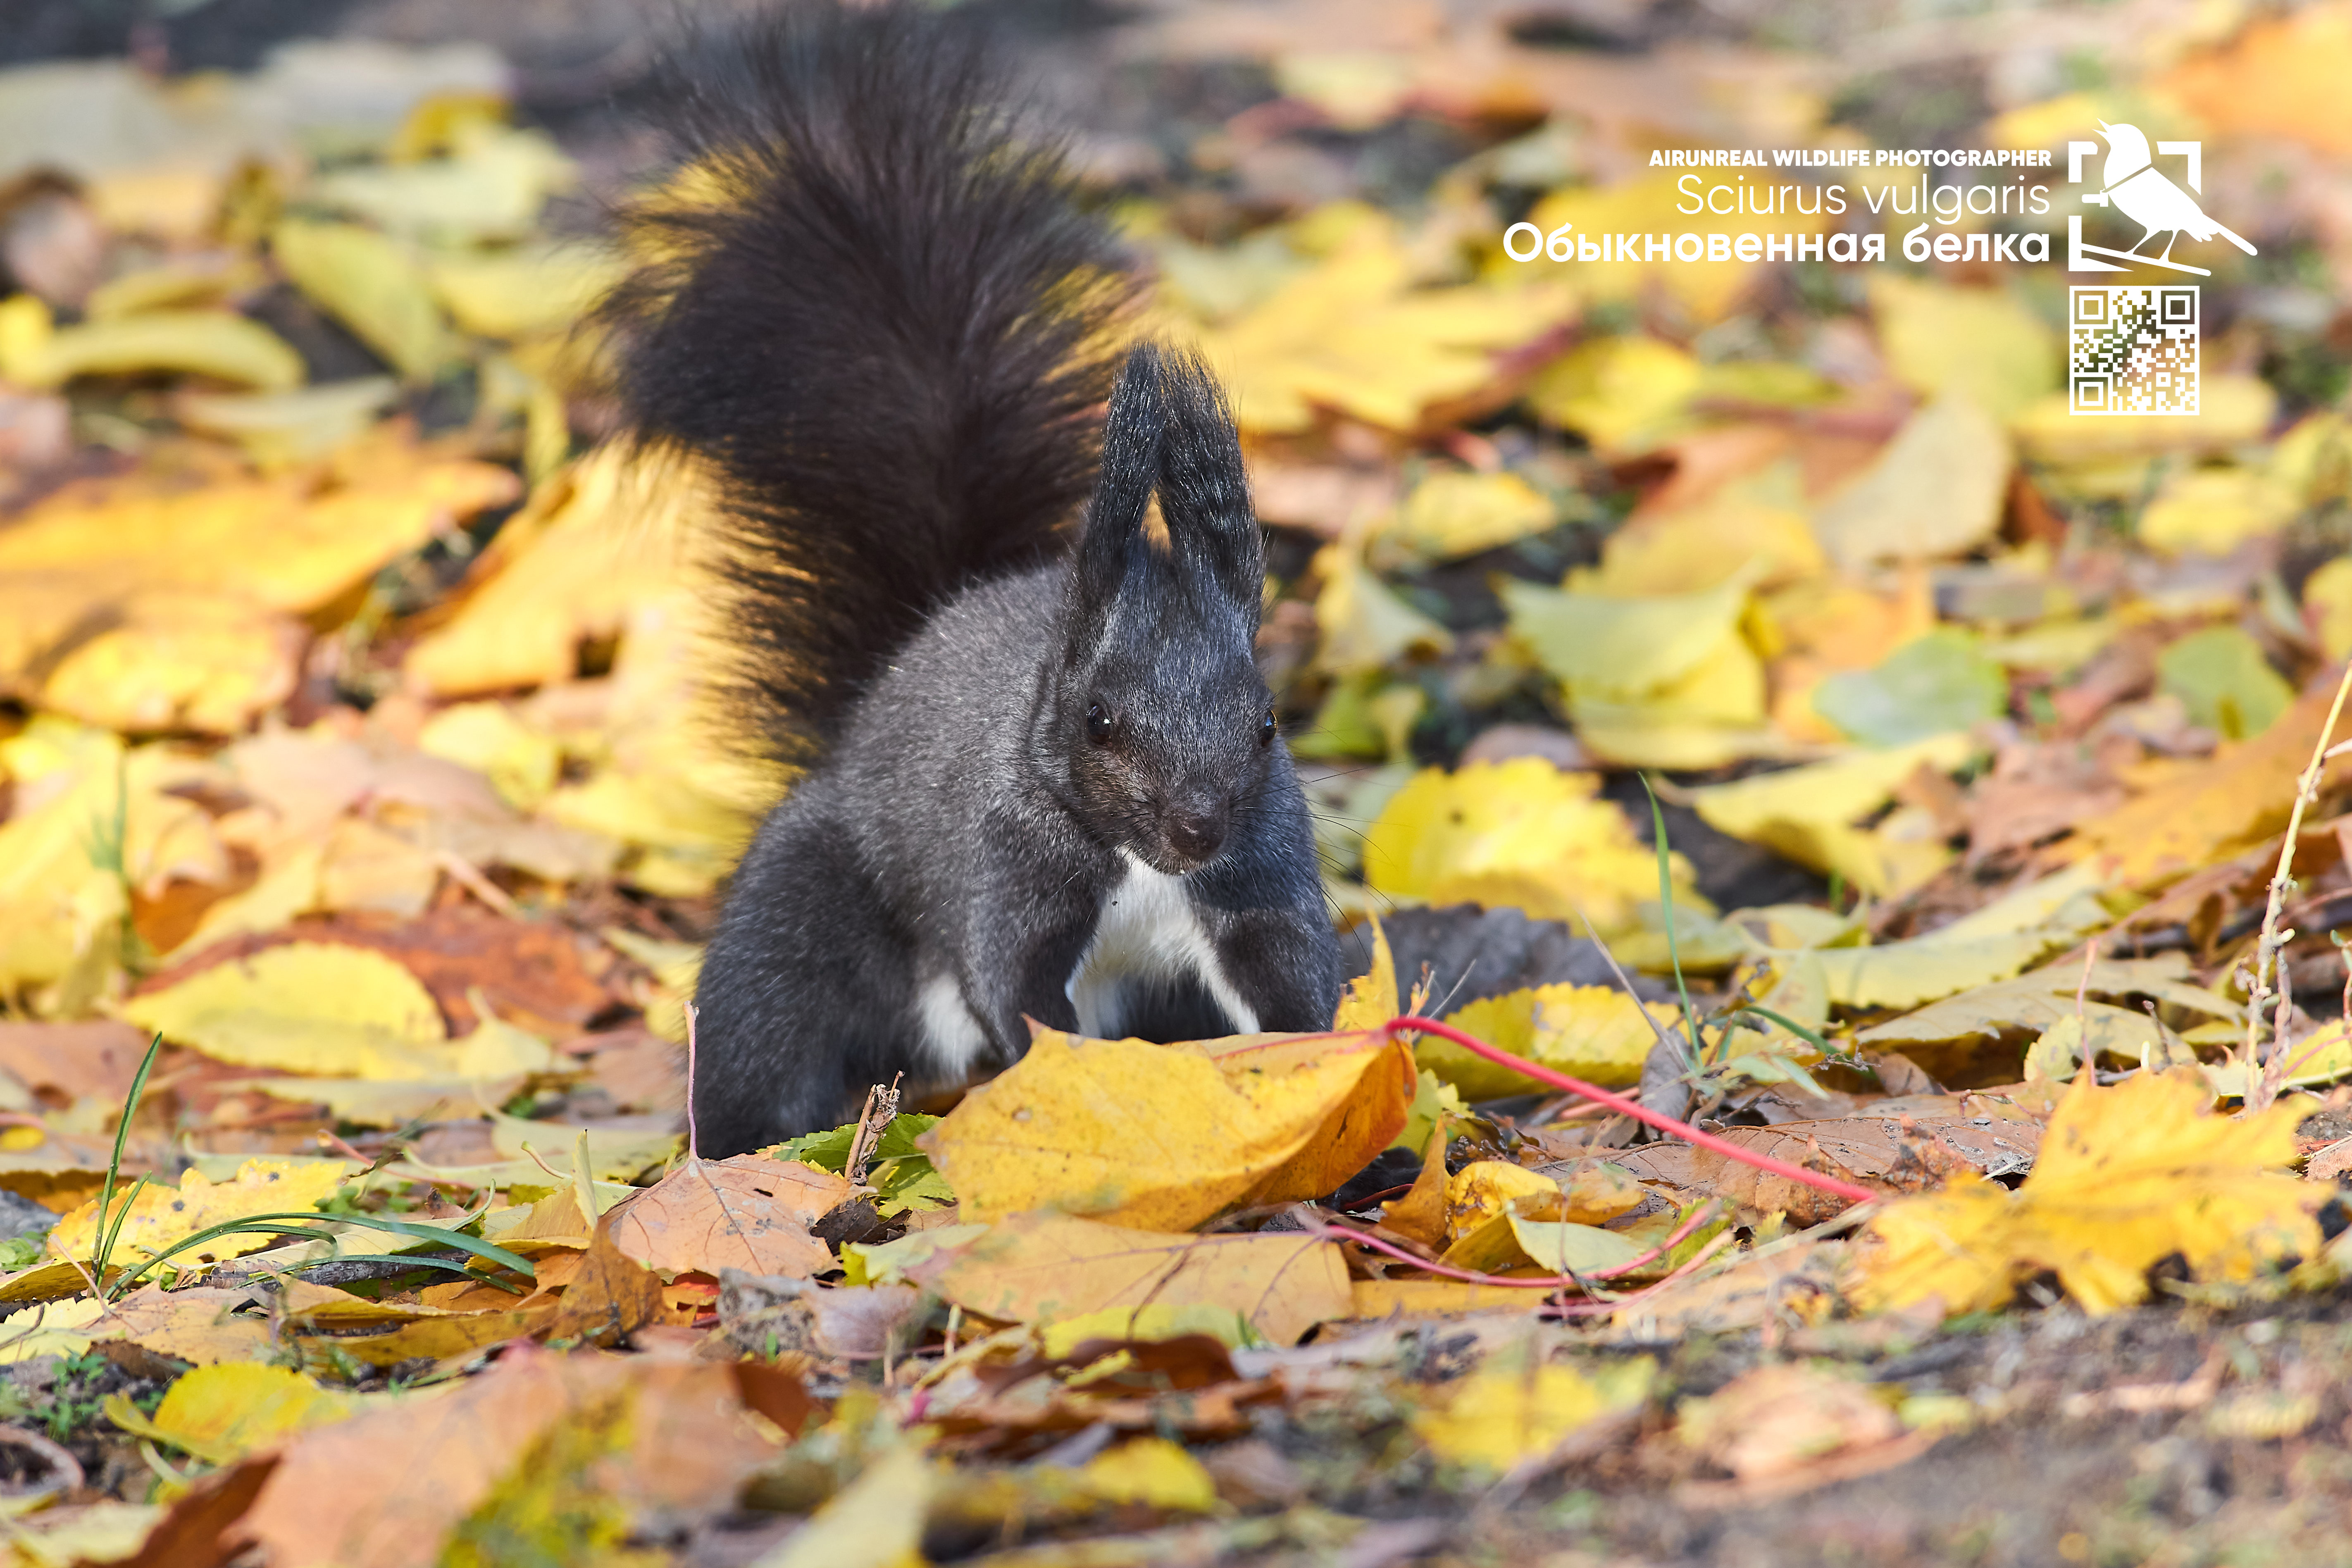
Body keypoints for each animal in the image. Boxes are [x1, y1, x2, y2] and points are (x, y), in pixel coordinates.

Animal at [607, 0, 1345, 1152]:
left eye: (1268, 724)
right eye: (1097, 722)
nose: (1197, 828)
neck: (1143, 868)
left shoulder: (1258, 877)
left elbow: (1292, 983)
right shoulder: (1007, 873)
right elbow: (1018, 996)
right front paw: (1081, 1090)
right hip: (799, 921)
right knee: (767, 1030)